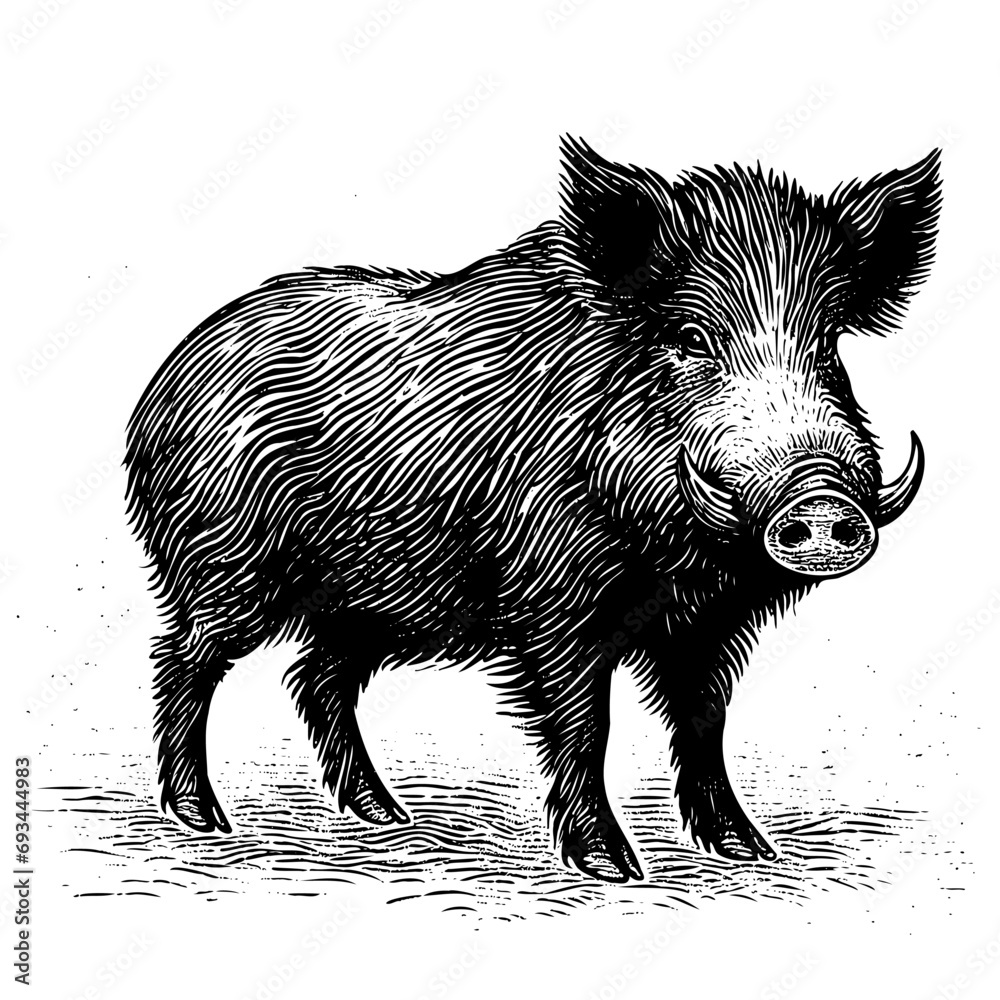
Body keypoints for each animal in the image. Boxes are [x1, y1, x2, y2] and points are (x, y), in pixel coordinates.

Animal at [125, 138, 939, 883]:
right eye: (689, 337)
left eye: (828, 342)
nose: (822, 498)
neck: (676, 556)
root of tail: (162, 386)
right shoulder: (554, 603)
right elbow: (585, 724)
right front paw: (613, 868)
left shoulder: (708, 623)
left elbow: (704, 720)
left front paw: (748, 852)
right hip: (226, 567)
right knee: (185, 662)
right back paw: (205, 820)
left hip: (368, 602)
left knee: (317, 678)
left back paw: (388, 819)